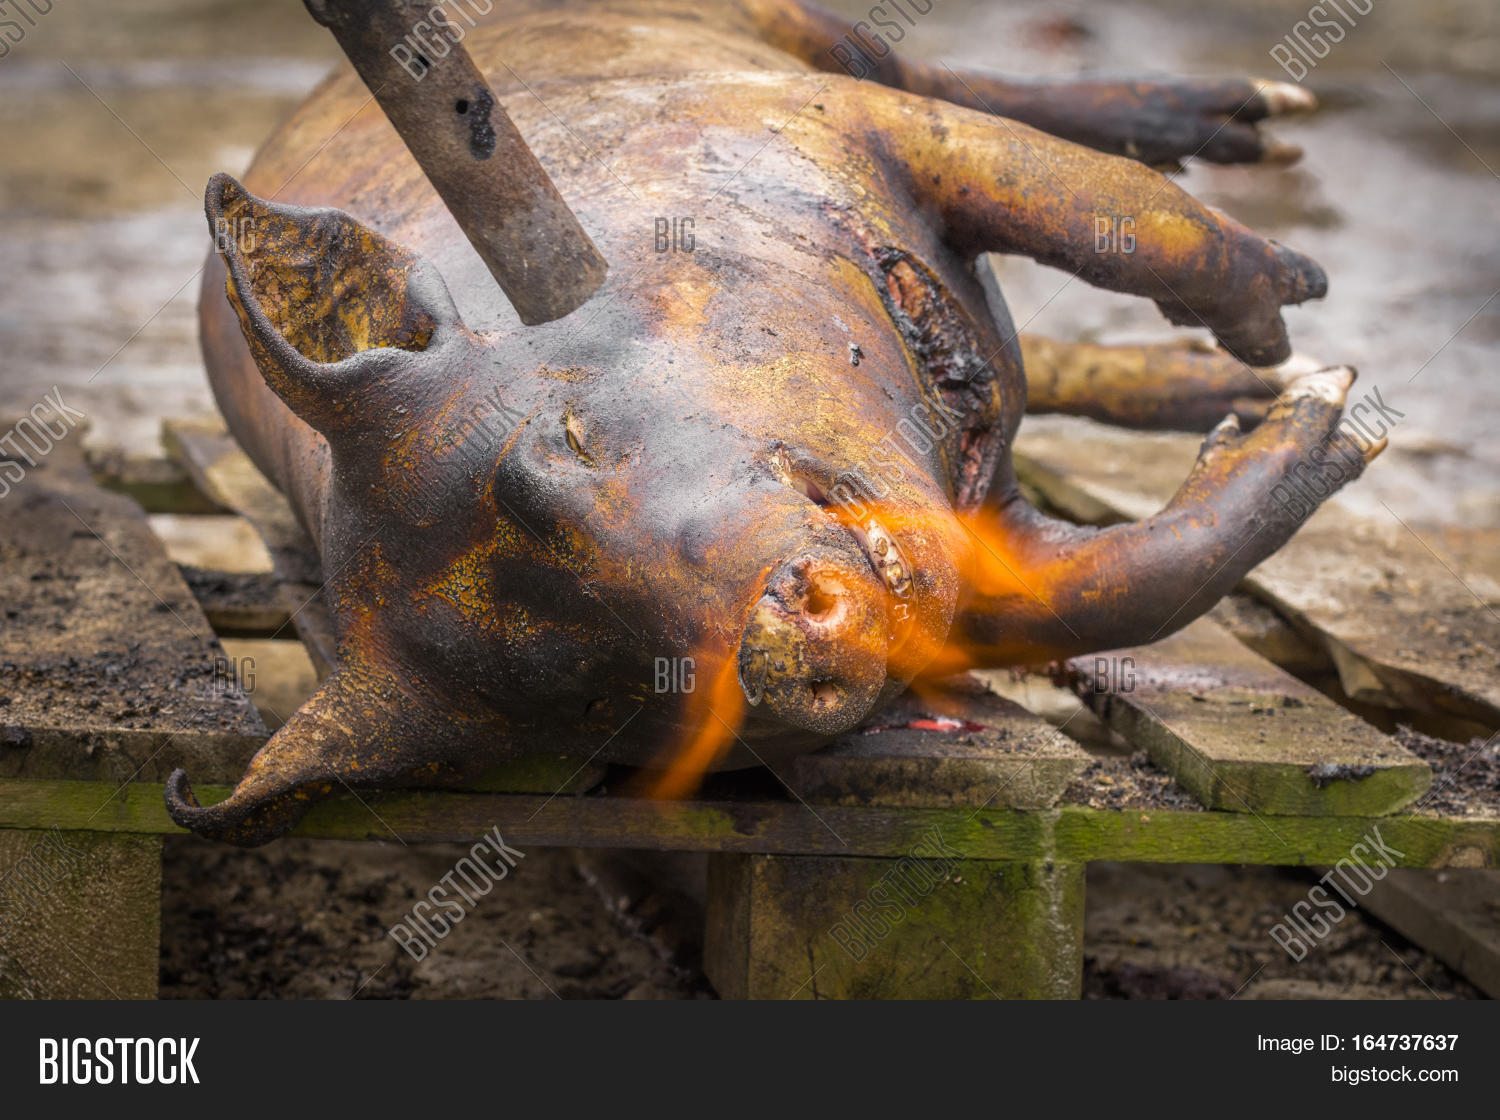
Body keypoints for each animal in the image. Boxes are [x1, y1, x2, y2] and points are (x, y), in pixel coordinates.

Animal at [167, 0, 1377, 844]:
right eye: (609, 682)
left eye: (570, 443)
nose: (786, 643)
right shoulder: (985, 578)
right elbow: (1118, 588)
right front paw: (1316, 409)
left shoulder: (825, 120)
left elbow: (1117, 210)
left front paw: (1303, 350)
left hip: (811, 38)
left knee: (950, 79)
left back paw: (1271, 146)